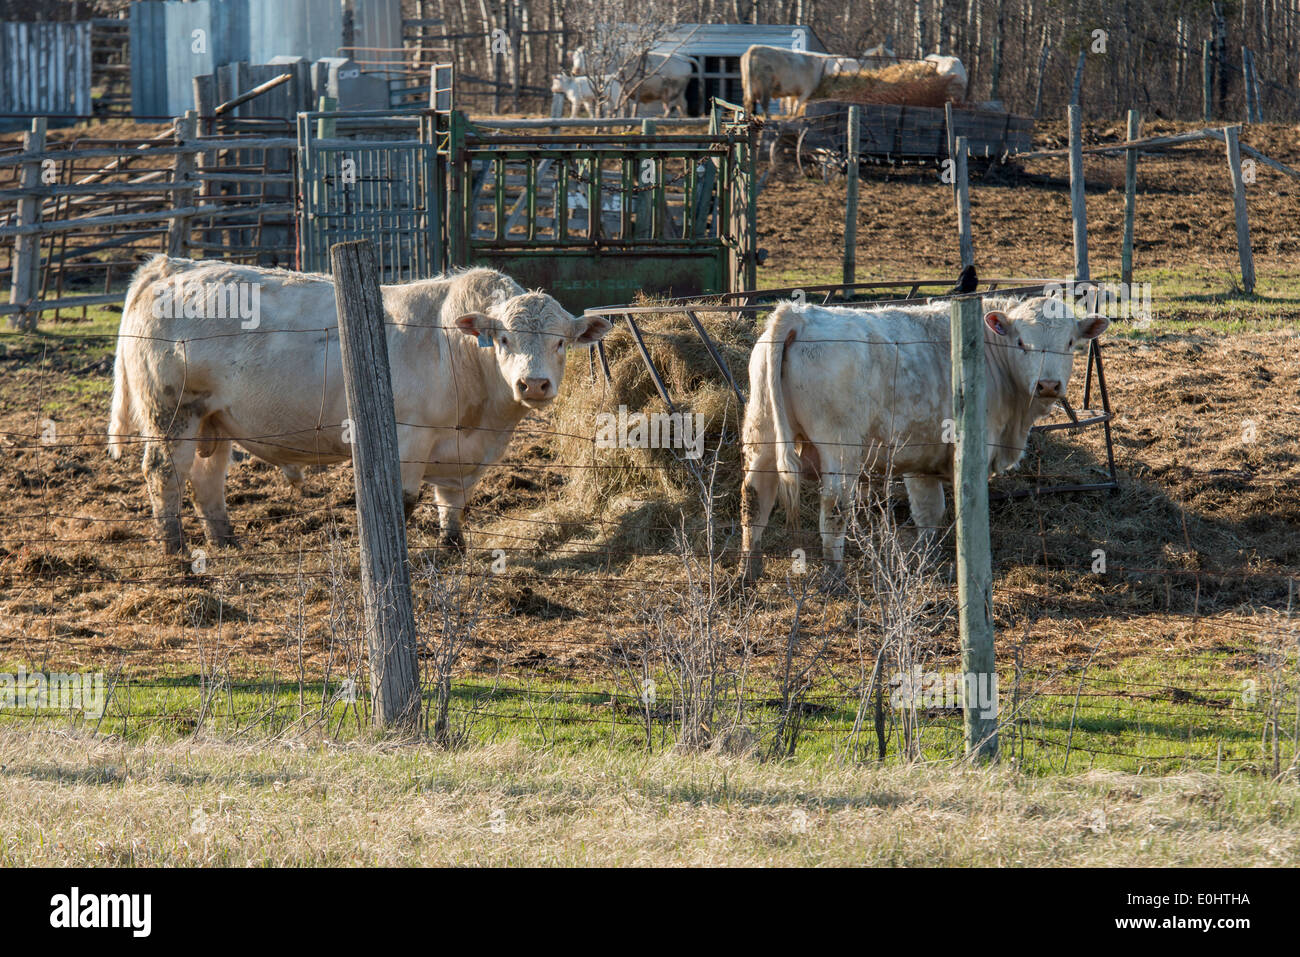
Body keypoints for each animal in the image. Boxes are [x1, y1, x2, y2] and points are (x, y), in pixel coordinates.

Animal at [107, 256, 612, 556]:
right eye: (504, 339)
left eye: (562, 342)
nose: (534, 383)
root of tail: (171, 267)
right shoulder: (407, 437)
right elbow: (403, 500)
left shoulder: (458, 451)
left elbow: (452, 501)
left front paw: (452, 548)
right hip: (172, 412)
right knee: (165, 473)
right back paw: (174, 547)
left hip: (214, 419)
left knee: (206, 478)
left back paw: (225, 540)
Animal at [739, 296, 1108, 580]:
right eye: (1021, 343)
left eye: (1070, 343)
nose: (1048, 385)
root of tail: (799, 314)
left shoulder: (920, 459)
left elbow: (928, 513)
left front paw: (926, 561)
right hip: (840, 448)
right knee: (834, 505)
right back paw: (834, 573)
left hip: (762, 432)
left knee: (755, 494)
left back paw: (749, 571)